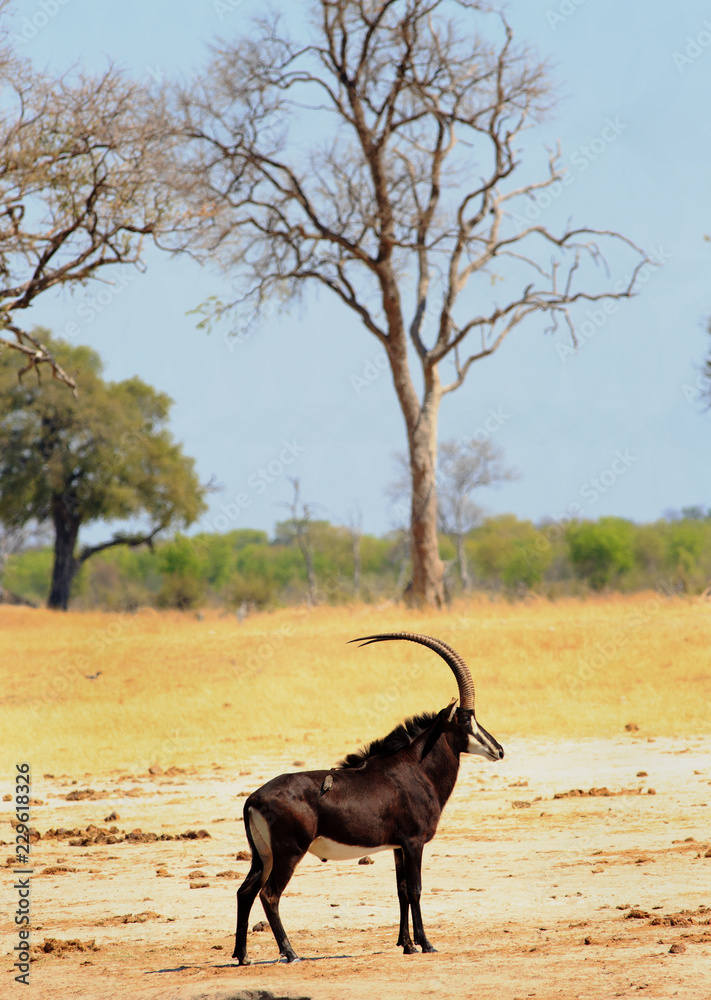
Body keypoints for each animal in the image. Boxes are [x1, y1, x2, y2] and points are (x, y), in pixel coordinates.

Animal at [233, 632, 503, 965]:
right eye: (466, 721)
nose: (499, 750)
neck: (415, 766)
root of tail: (253, 799)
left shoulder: (398, 847)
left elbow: (401, 890)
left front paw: (406, 944)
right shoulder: (413, 842)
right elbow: (416, 889)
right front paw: (425, 943)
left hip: (263, 855)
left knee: (245, 891)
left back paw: (243, 956)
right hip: (288, 852)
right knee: (269, 894)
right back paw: (291, 953)